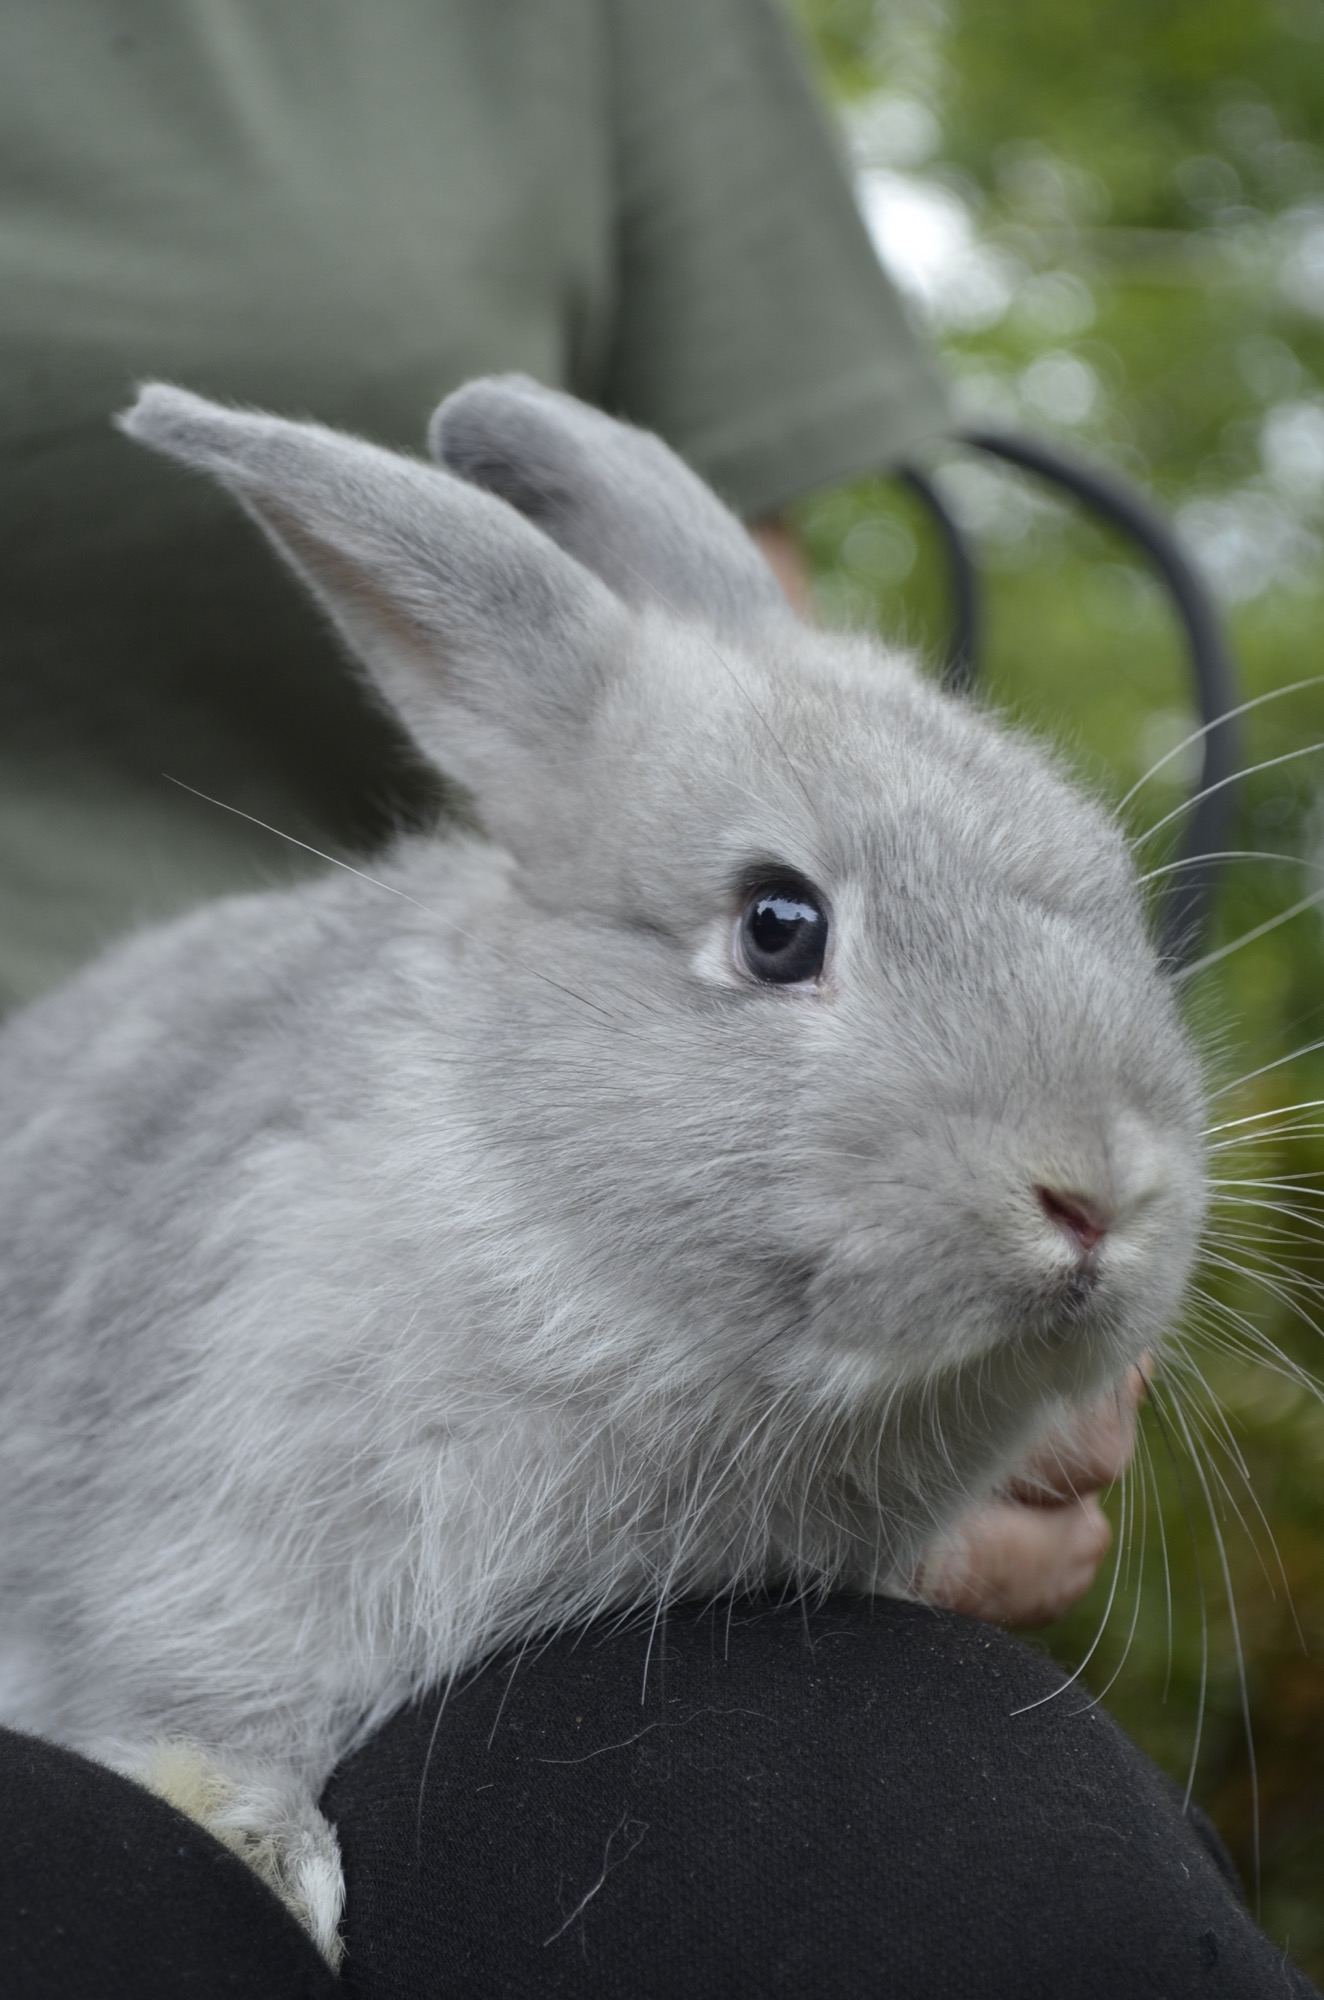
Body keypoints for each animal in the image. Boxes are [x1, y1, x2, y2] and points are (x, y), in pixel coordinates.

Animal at [0, 375, 1207, 1961]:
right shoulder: (206, 1530)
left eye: (1116, 901)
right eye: (777, 926)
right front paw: (273, 1863)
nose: (1096, 1197)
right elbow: (197, 1707)